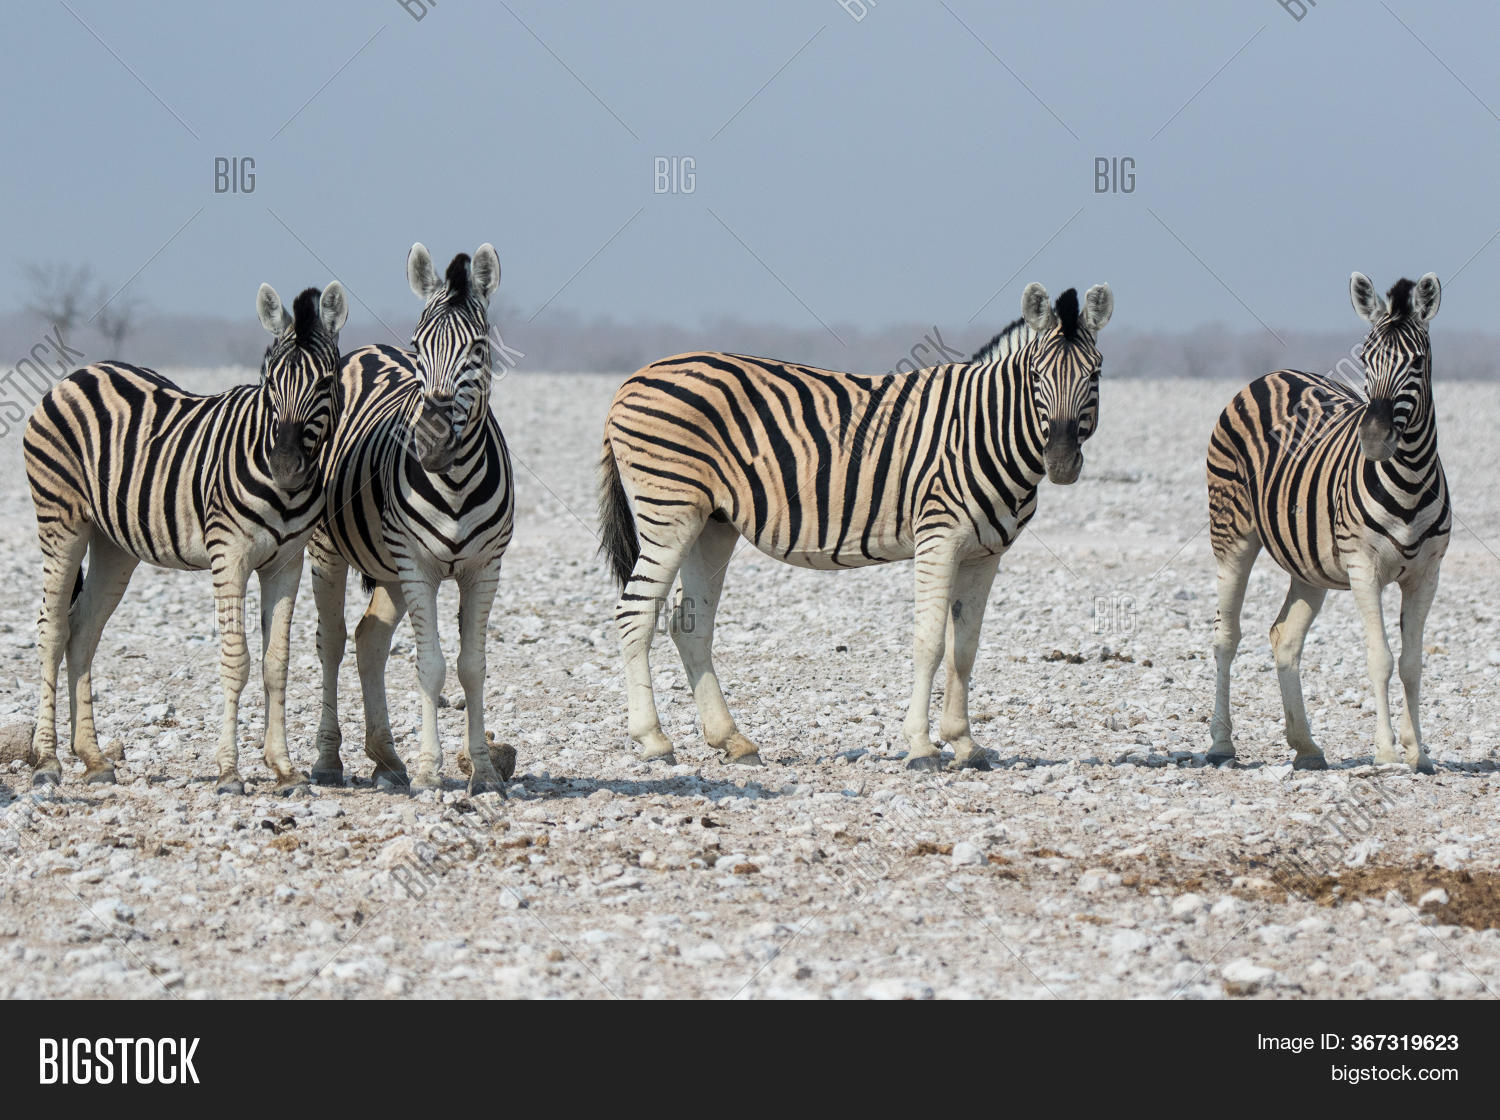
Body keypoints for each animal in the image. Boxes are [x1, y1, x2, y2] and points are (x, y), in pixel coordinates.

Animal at [23, 282, 348, 792]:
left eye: (326, 382)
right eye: (270, 384)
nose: (285, 466)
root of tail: (81, 373)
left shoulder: (286, 562)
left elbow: (276, 664)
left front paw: (284, 768)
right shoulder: (229, 553)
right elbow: (237, 660)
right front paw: (229, 771)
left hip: (113, 545)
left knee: (82, 631)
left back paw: (93, 758)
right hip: (60, 521)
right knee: (52, 628)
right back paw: (47, 761)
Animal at [309, 244, 515, 796]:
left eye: (479, 349)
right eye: (419, 348)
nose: (432, 444)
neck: (456, 481)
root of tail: (366, 350)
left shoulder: (484, 568)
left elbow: (472, 668)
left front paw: (485, 771)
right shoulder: (418, 566)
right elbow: (431, 666)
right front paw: (429, 770)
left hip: (389, 568)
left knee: (369, 639)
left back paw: (385, 757)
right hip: (330, 551)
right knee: (332, 641)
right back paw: (328, 760)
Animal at [598, 281, 1113, 770]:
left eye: (1096, 374)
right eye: (1036, 377)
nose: (1062, 463)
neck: (983, 429)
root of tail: (633, 378)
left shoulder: (985, 554)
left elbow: (964, 648)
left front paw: (966, 744)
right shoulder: (939, 537)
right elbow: (929, 642)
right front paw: (921, 747)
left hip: (711, 524)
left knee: (691, 625)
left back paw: (733, 741)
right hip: (670, 510)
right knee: (634, 613)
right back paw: (654, 740)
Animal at [1206, 272, 1449, 773]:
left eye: (1417, 361)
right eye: (1366, 357)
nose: (1373, 439)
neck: (1411, 480)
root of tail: (1273, 374)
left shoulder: (1426, 574)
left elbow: (1413, 663)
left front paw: (1418, 751)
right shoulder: (1363, 568)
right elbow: (1381, 658)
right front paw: (1387, 751)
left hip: (1308, 563)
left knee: (1284, 637)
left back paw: (1306, 746)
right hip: (1231, 534)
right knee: (1226, 636)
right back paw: (1221, 744)